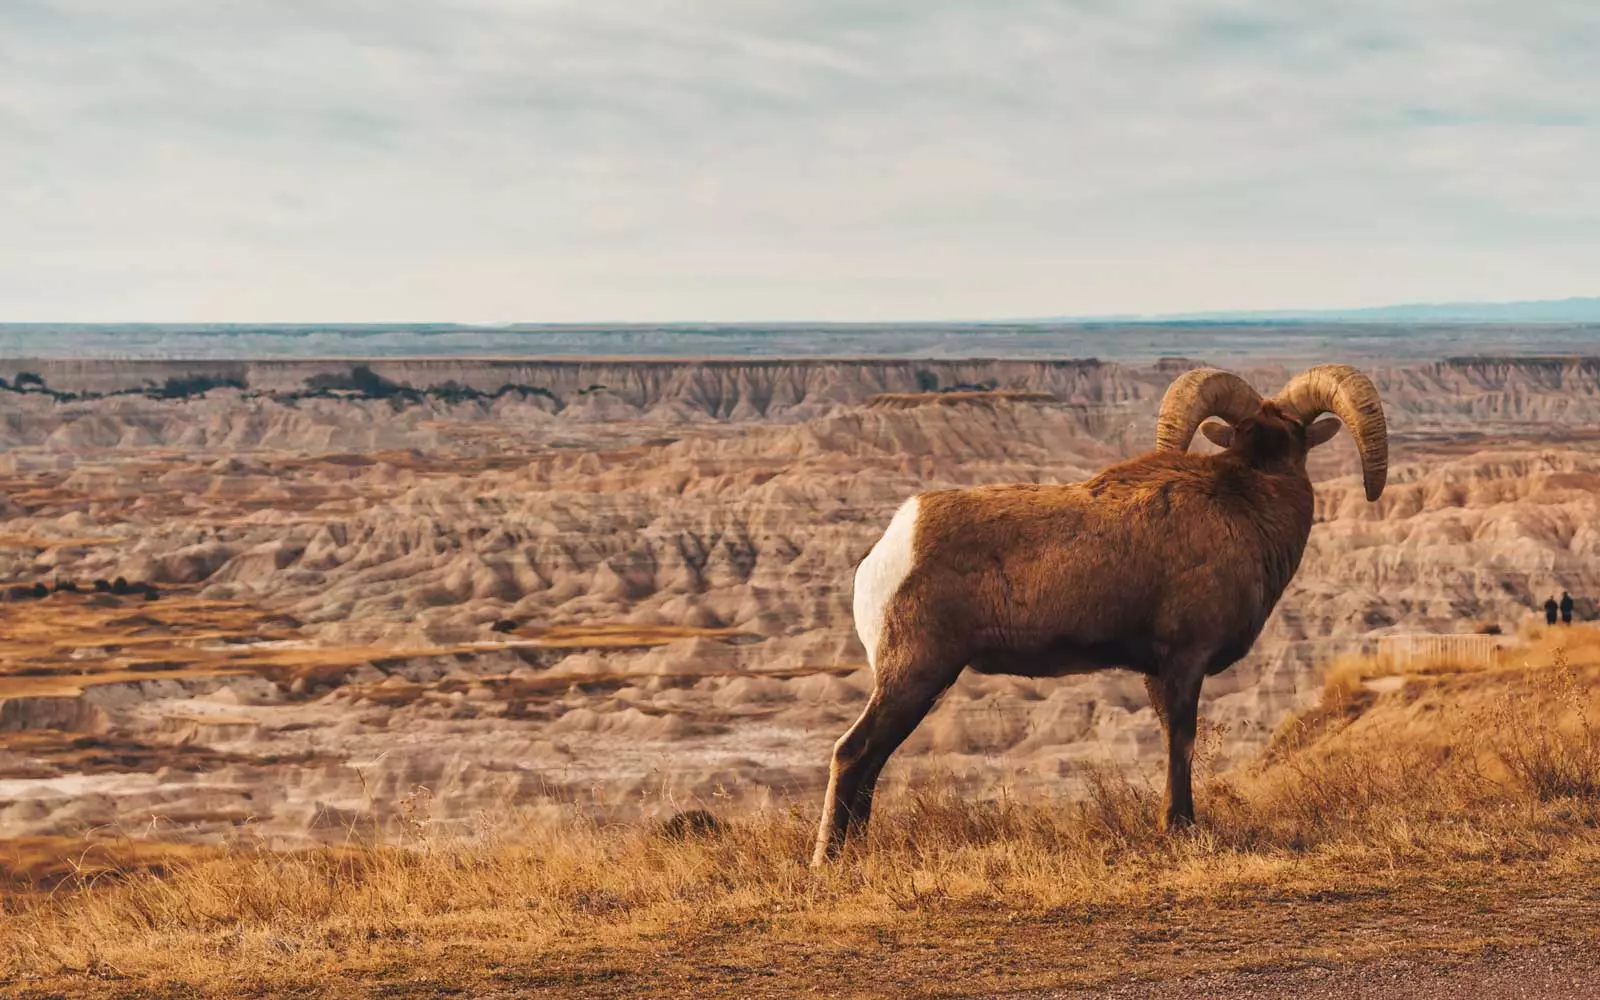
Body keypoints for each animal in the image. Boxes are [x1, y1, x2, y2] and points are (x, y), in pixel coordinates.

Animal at [812, 363, 1388, 864]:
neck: (1246, 508)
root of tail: (892, 546)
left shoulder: (1158, 674)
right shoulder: (1184, 664)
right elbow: (1182, 742)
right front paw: (1179, 826)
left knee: (872, 761)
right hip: (914, 676)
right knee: (854, 752)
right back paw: (829, 861)